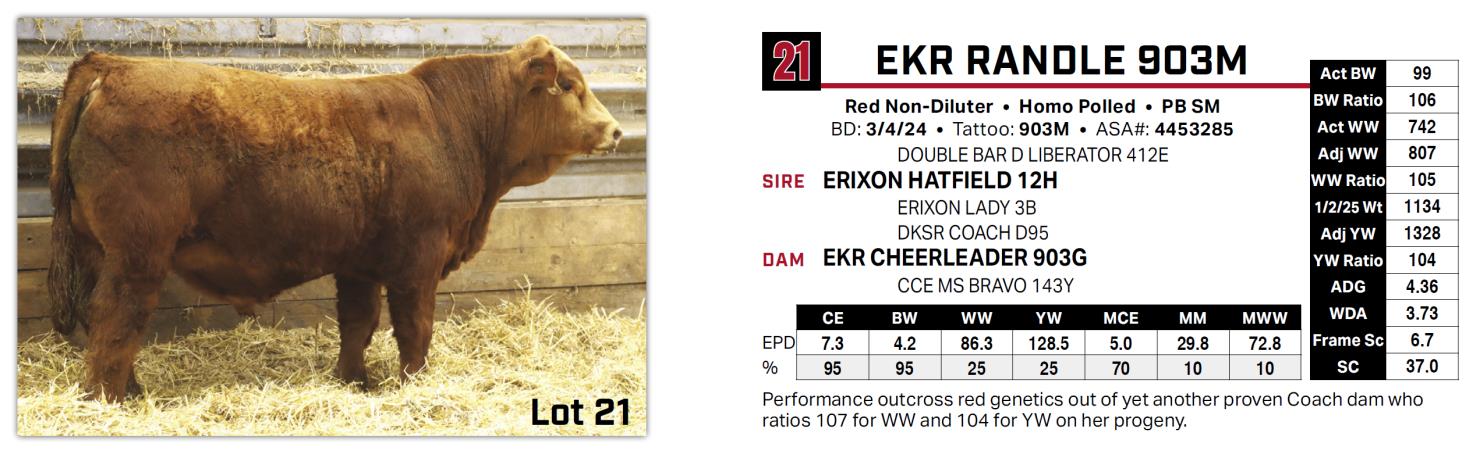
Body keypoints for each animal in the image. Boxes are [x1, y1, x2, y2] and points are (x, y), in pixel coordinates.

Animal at [46, 35, 622, 402]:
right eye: (568, 85)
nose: (616, 130)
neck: (454, 122)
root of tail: (110, 65)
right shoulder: (419, 261)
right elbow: (414, 328)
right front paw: (414, 384)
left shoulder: (359, 264)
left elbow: (358, 324)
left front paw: (355, 382)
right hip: (136, 255)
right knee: (117, 319)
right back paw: (109, 399)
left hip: (100, 250)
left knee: (107, 321)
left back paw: (130, 391)